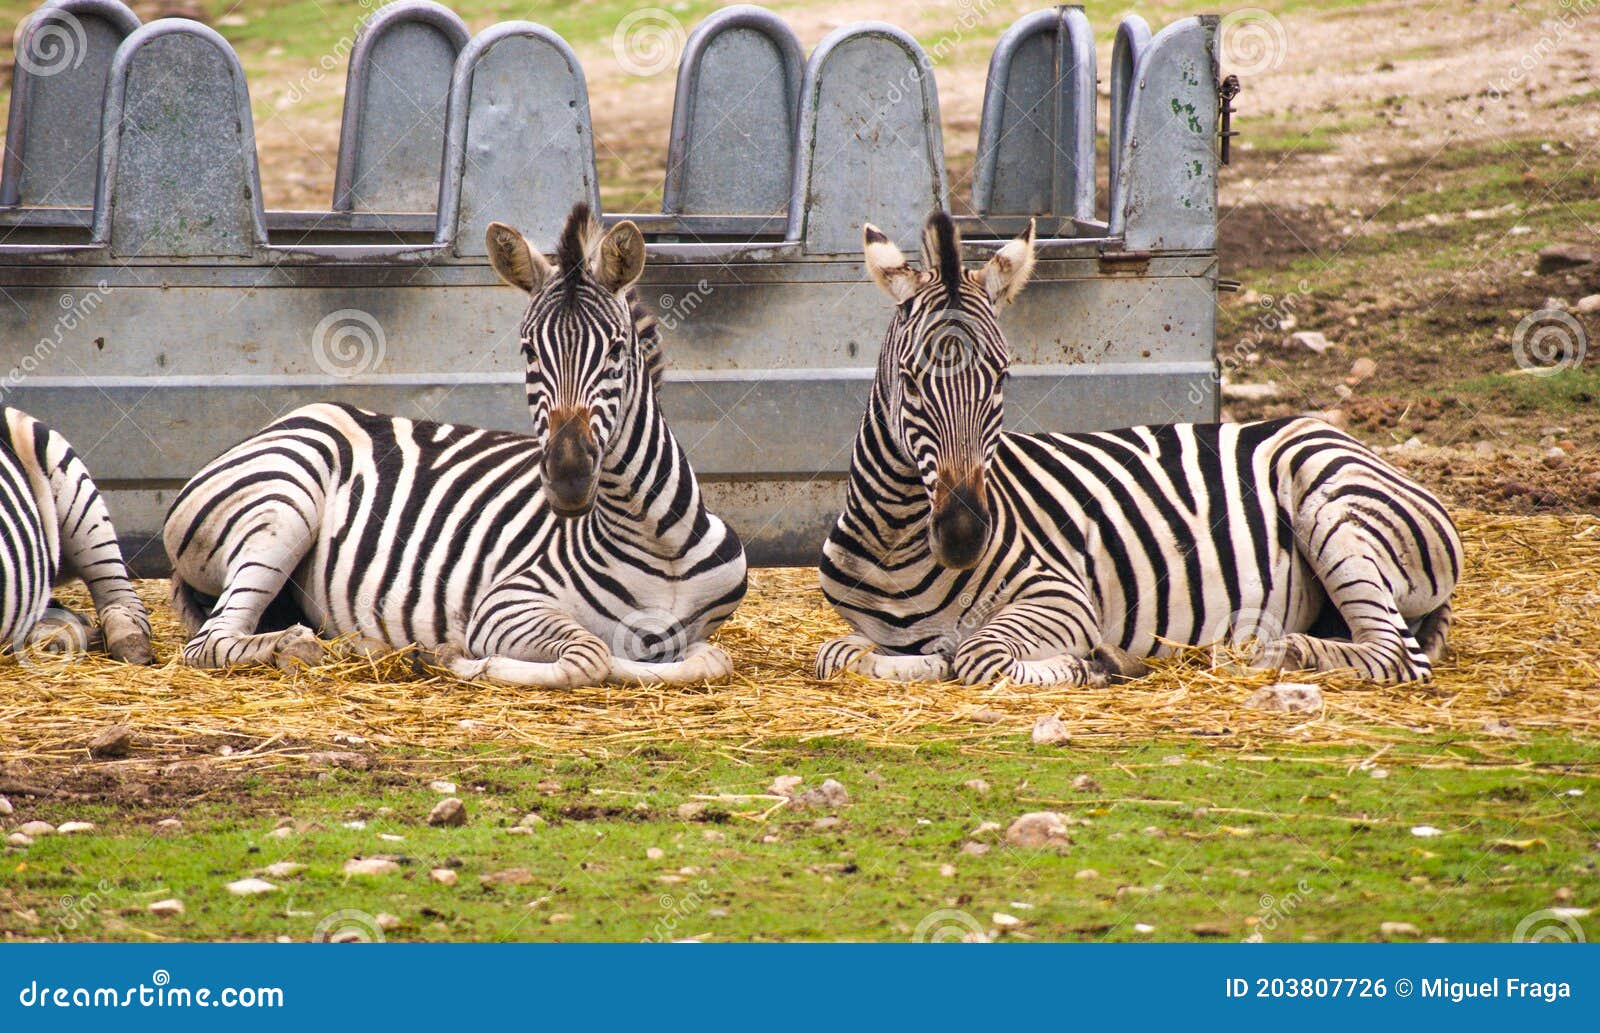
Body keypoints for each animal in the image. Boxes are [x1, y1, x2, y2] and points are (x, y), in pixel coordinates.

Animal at [164, 203, 747, 688]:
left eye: (617, 351)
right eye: (528, 351)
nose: (568, 478)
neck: (657, 540)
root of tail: (292, 417)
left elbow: (709, 660)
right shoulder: (505, 604)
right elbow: (591, 657)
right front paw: (453, 658)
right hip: (283, 507)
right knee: (210, 641)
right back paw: (301, 647)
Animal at [816, 212, 1461, 687]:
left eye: (1001, 377)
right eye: (910, 378)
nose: (963, 536)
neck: (896, 545)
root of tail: (1351, 441)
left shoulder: (1060, 594)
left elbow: (978, 657)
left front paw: (1093, 664)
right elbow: (839, 656)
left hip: (1330, 511)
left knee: (1395, 654)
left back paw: (1277, 652)